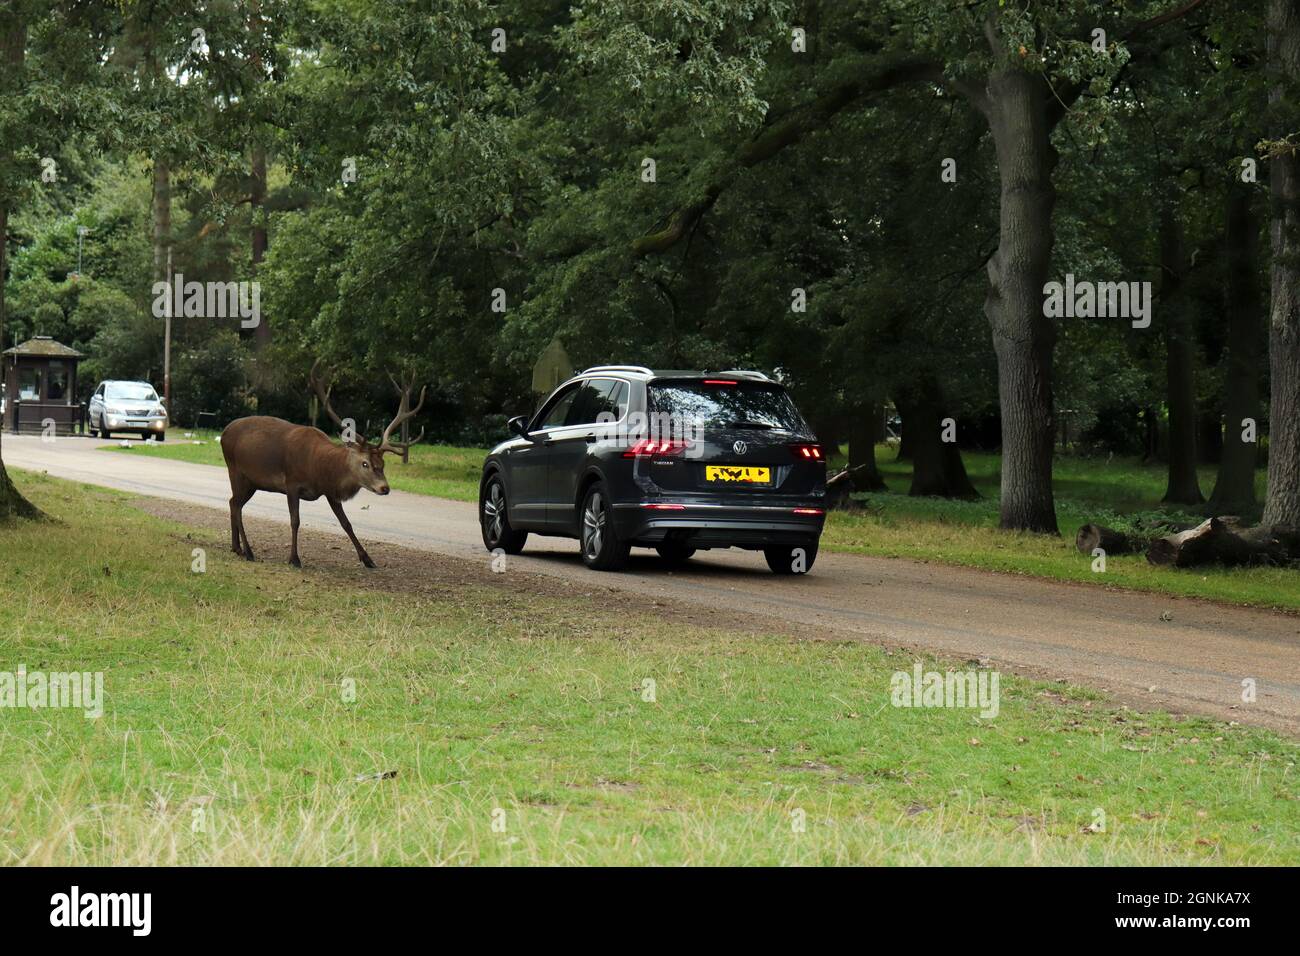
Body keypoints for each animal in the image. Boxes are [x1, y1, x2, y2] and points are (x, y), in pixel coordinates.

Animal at [220, 361, 426, 568]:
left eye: (383, 463)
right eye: (365, 463)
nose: (385, 488)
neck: (319, 470)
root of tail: (224, 433)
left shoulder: (330, 491)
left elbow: (346, 523)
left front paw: (368, 559)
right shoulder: (292, 484)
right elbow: (295, 520)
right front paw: (294, 558)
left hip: (252, 482)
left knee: (232, 502)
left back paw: (236, 548)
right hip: (235, 470)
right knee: (236, 505)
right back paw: (248, 551)